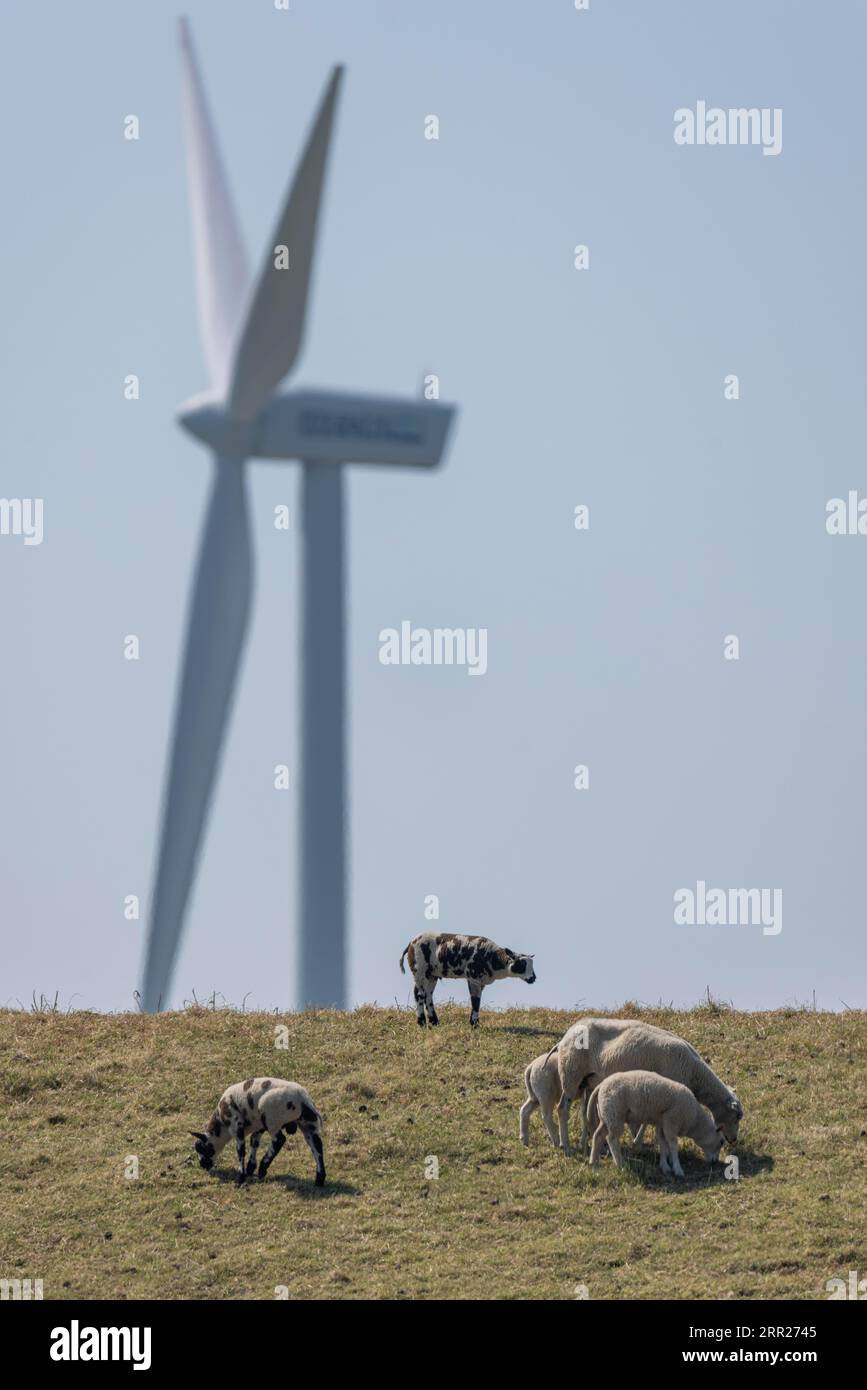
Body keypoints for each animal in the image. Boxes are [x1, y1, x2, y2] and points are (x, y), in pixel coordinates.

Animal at [190, 1077, 325, 1186]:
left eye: (201, 1147)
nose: (202, 1165)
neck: (221, 1125)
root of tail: (302, 1099)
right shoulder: (258, 1128)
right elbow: (254, 1143)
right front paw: (250, 1168)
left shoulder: (236, 1127)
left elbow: (241, 1151)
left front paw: (241, 1177)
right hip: (308, 1124)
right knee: (316, 1146)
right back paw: (319, 1179)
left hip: (272, 1119)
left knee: (279, 1140)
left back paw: (262, 1168)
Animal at [399, 931, 536, 1026]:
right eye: (521, 964)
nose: (533, 978)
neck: (492, 958)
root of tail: (410, 943)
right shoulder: (473, 977)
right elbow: (475, 1001)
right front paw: (474, 1024)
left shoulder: (481, 981)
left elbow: (477, 1001)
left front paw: (474, 1022)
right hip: (419, 970)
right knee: (419, 994)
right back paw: (421, 1022)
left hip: (432, 974)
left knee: (428, 995)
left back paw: (434, 1022)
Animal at [552, 1017, 742, 1157]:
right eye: (737, 1116)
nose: (734, 1140)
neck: (693, 1072)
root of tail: (567, 1034)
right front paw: (637, 1142)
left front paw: (637, 1140)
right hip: (571, 1073)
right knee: (562, 1109)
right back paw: (566, 1146)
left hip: (587, 1081)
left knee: (585, 1113)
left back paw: (587, 1144)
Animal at [587, 1070, 723, 1176]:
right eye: (721, 1142)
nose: (715, 1162)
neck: (694, 1119)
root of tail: (601, 1085)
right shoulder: (671, 1120)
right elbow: (672, 1145)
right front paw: (677, 1168)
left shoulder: (662, 1122)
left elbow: (662, 1143)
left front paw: (665, 1165)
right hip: (614, 1114)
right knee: (612, 1139)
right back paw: (620, 1163)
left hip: (606, 1116)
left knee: (598, 1136)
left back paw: (594, 1162)